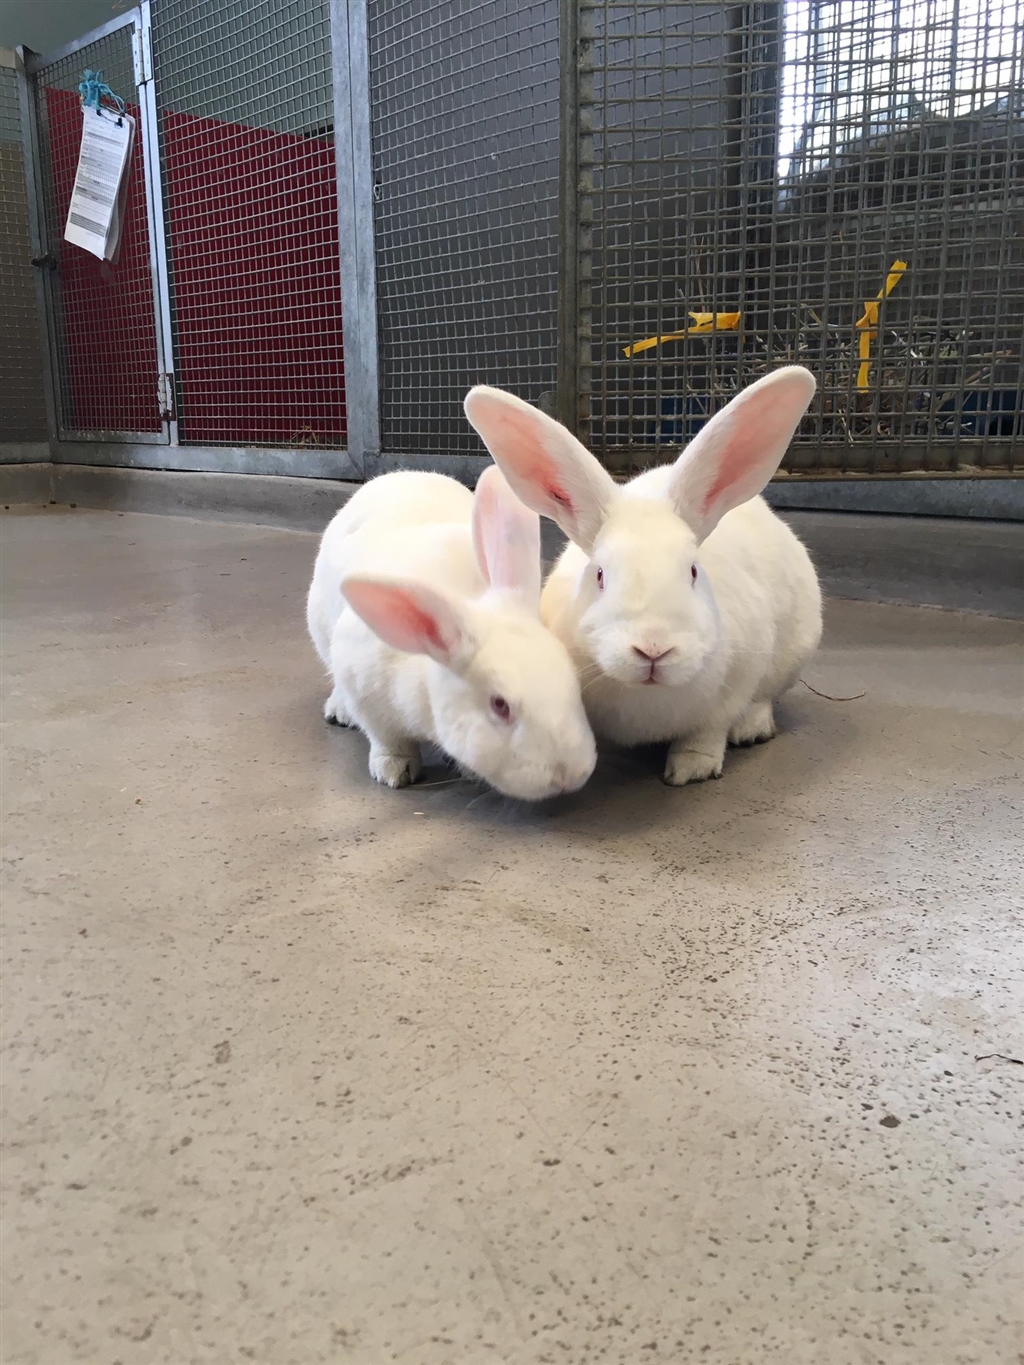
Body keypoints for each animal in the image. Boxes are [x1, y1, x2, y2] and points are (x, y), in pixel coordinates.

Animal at [306, 467, 597, 799]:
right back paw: (339, 711)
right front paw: (393, 770)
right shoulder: (365, 692)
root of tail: (398, 474)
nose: (570, 775)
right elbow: (388, 740)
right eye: (500, 705)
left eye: (573, 682)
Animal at [463, 366, 822, 787]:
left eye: (693, 571)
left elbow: (708, 733)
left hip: (795, 649)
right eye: (600, 574)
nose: (653, 649)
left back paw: (752, 728)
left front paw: (691, 770)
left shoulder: (736, 683)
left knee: (765, 699)